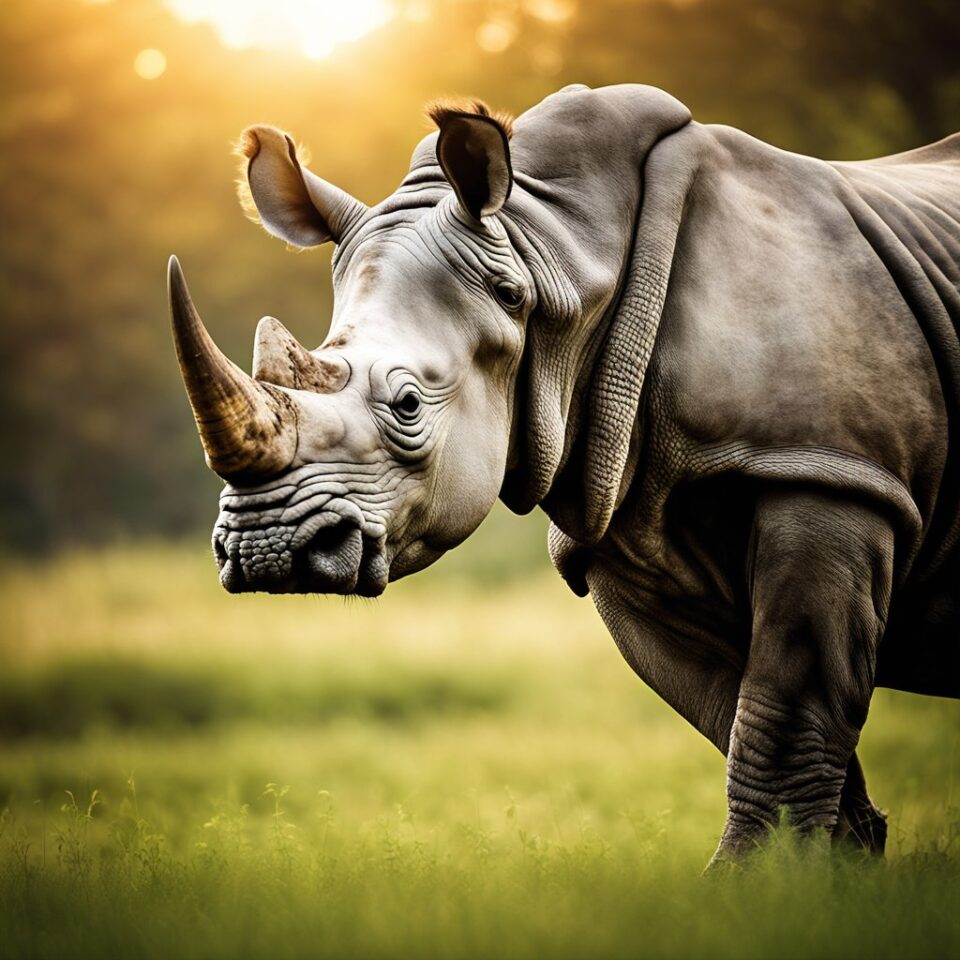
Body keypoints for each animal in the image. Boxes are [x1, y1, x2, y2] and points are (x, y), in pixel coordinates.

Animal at [168, 84, 960, 864]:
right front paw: (819, 876)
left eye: (408, 404)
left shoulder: (831, 471)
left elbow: (787, 712)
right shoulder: (616, 522)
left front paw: (755, 881)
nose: (265, 550)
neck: (549, 257)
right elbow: (745, 713)